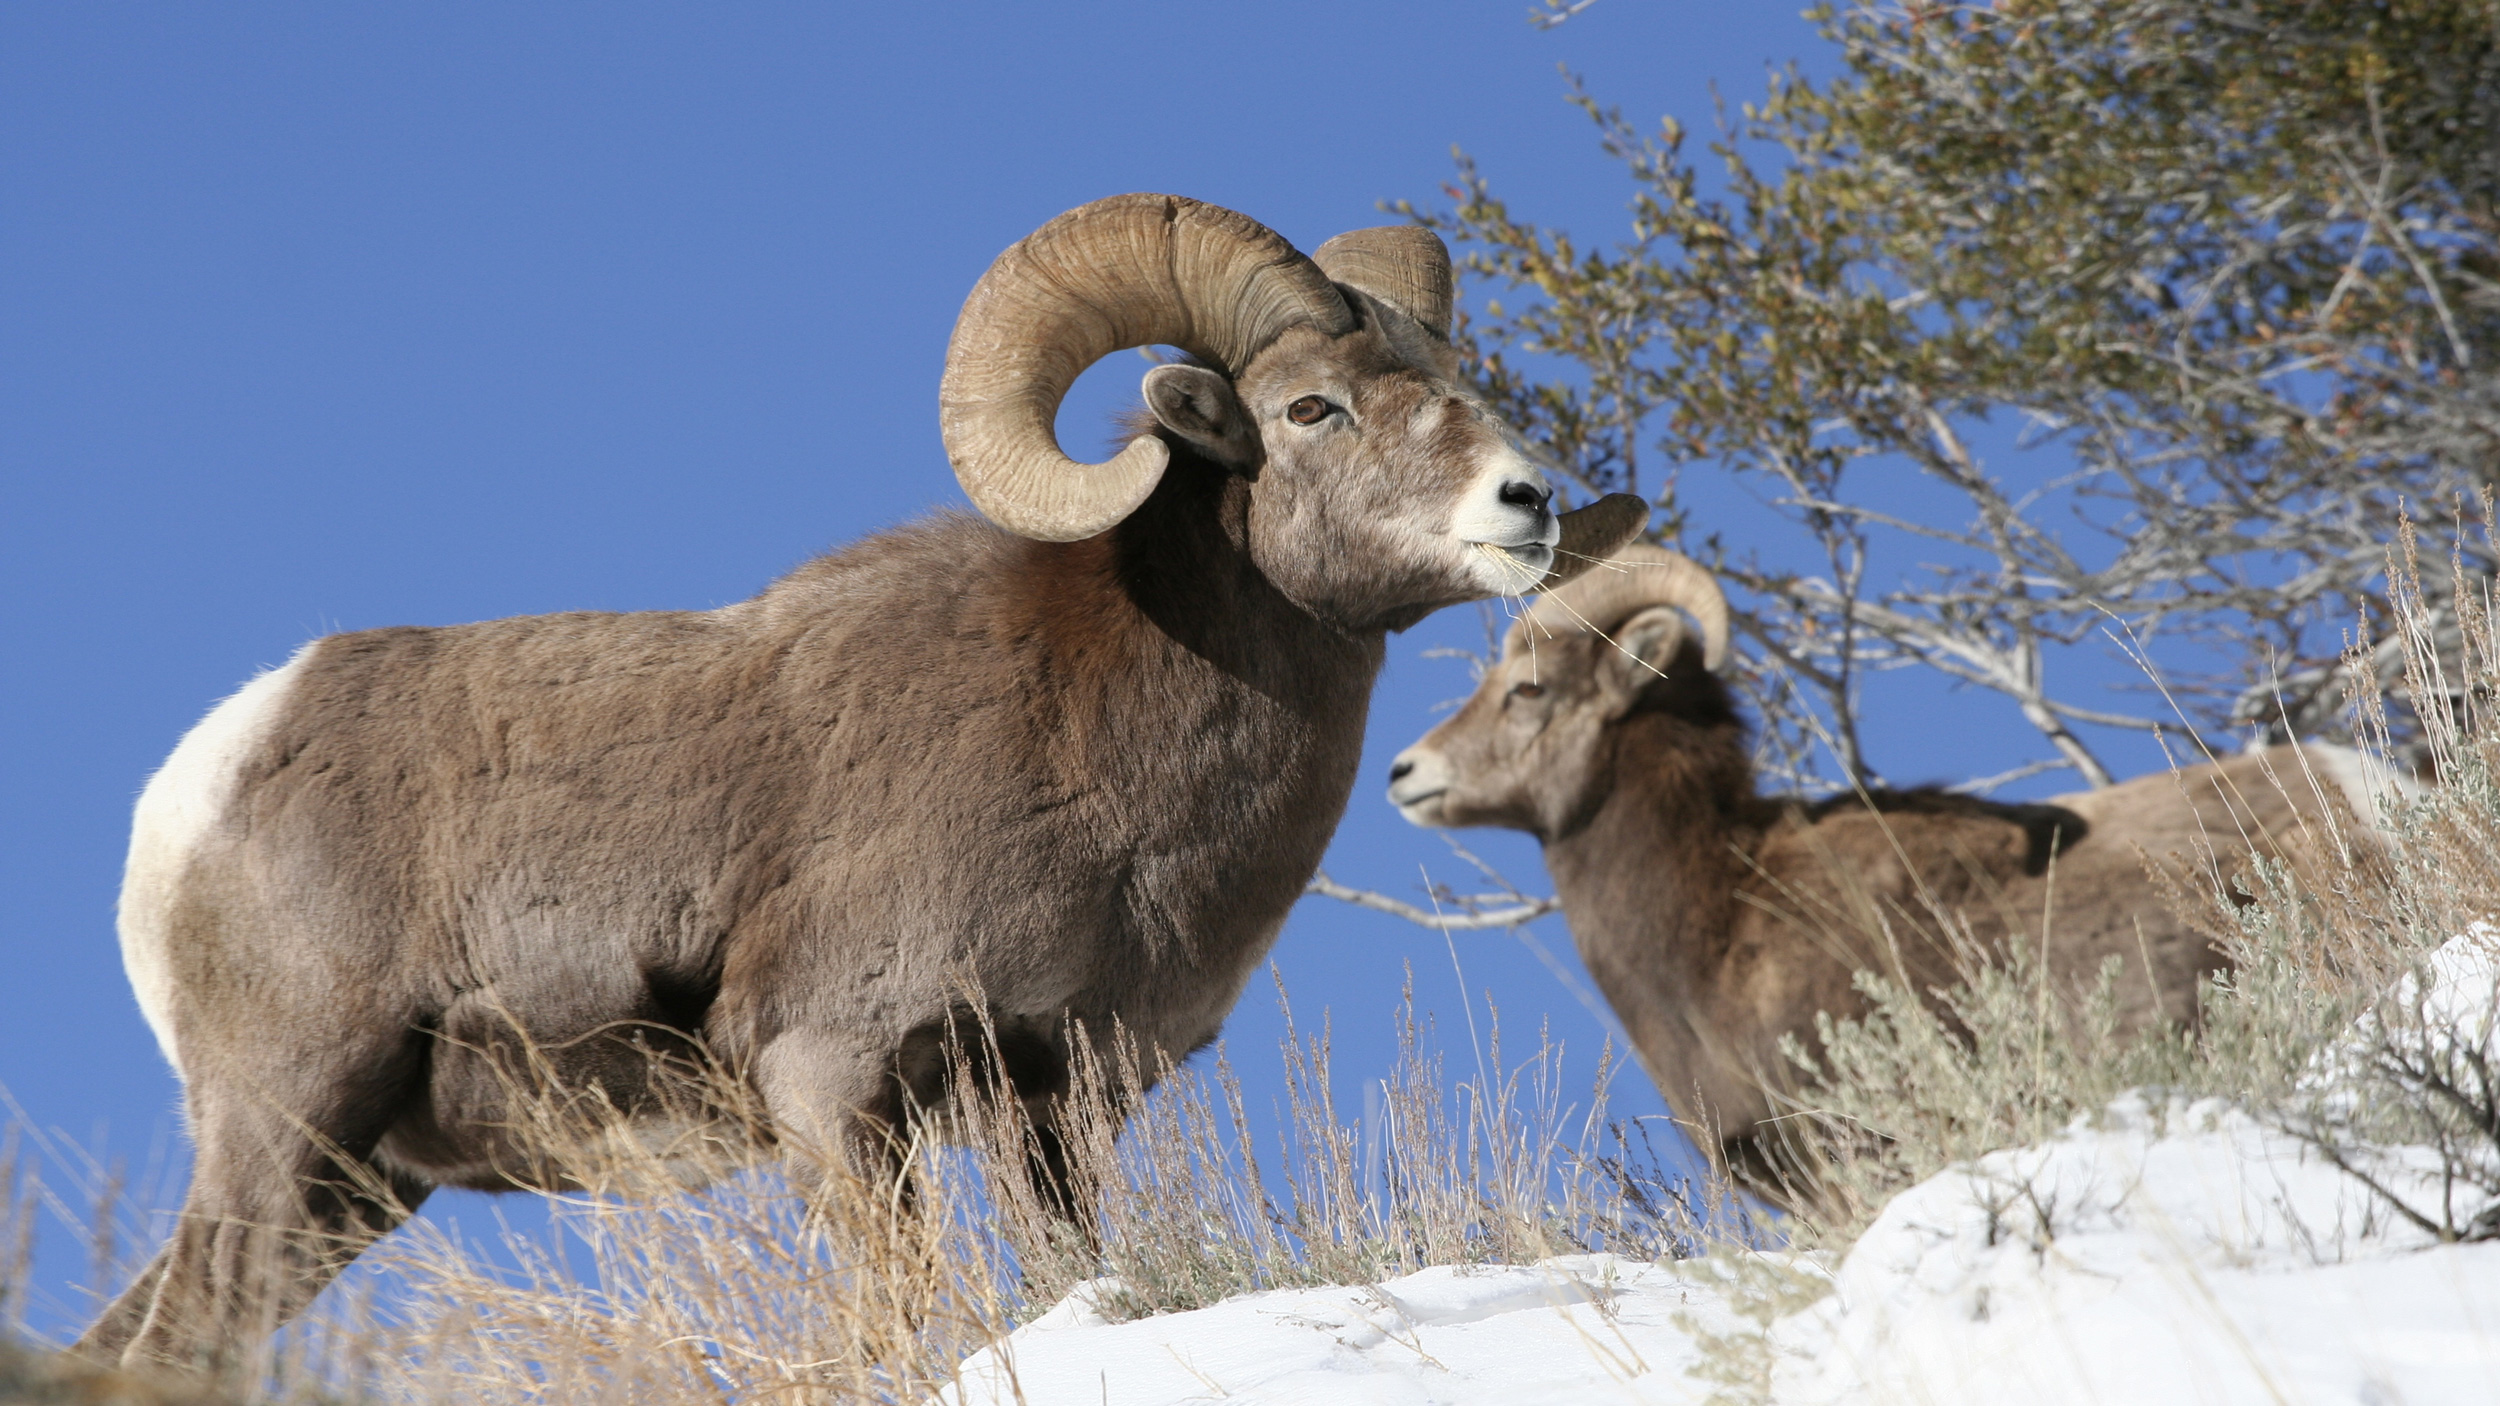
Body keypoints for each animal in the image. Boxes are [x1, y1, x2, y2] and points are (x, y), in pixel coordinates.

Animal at [79, 192, 1651, 1372]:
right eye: (1313, 407)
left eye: (1461, 389)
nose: (1525, 502)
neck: (1098, 751)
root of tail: (198, 784)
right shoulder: (831, 1081)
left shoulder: (1058, 1104)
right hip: (290, 1127)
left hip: (351, 1187)